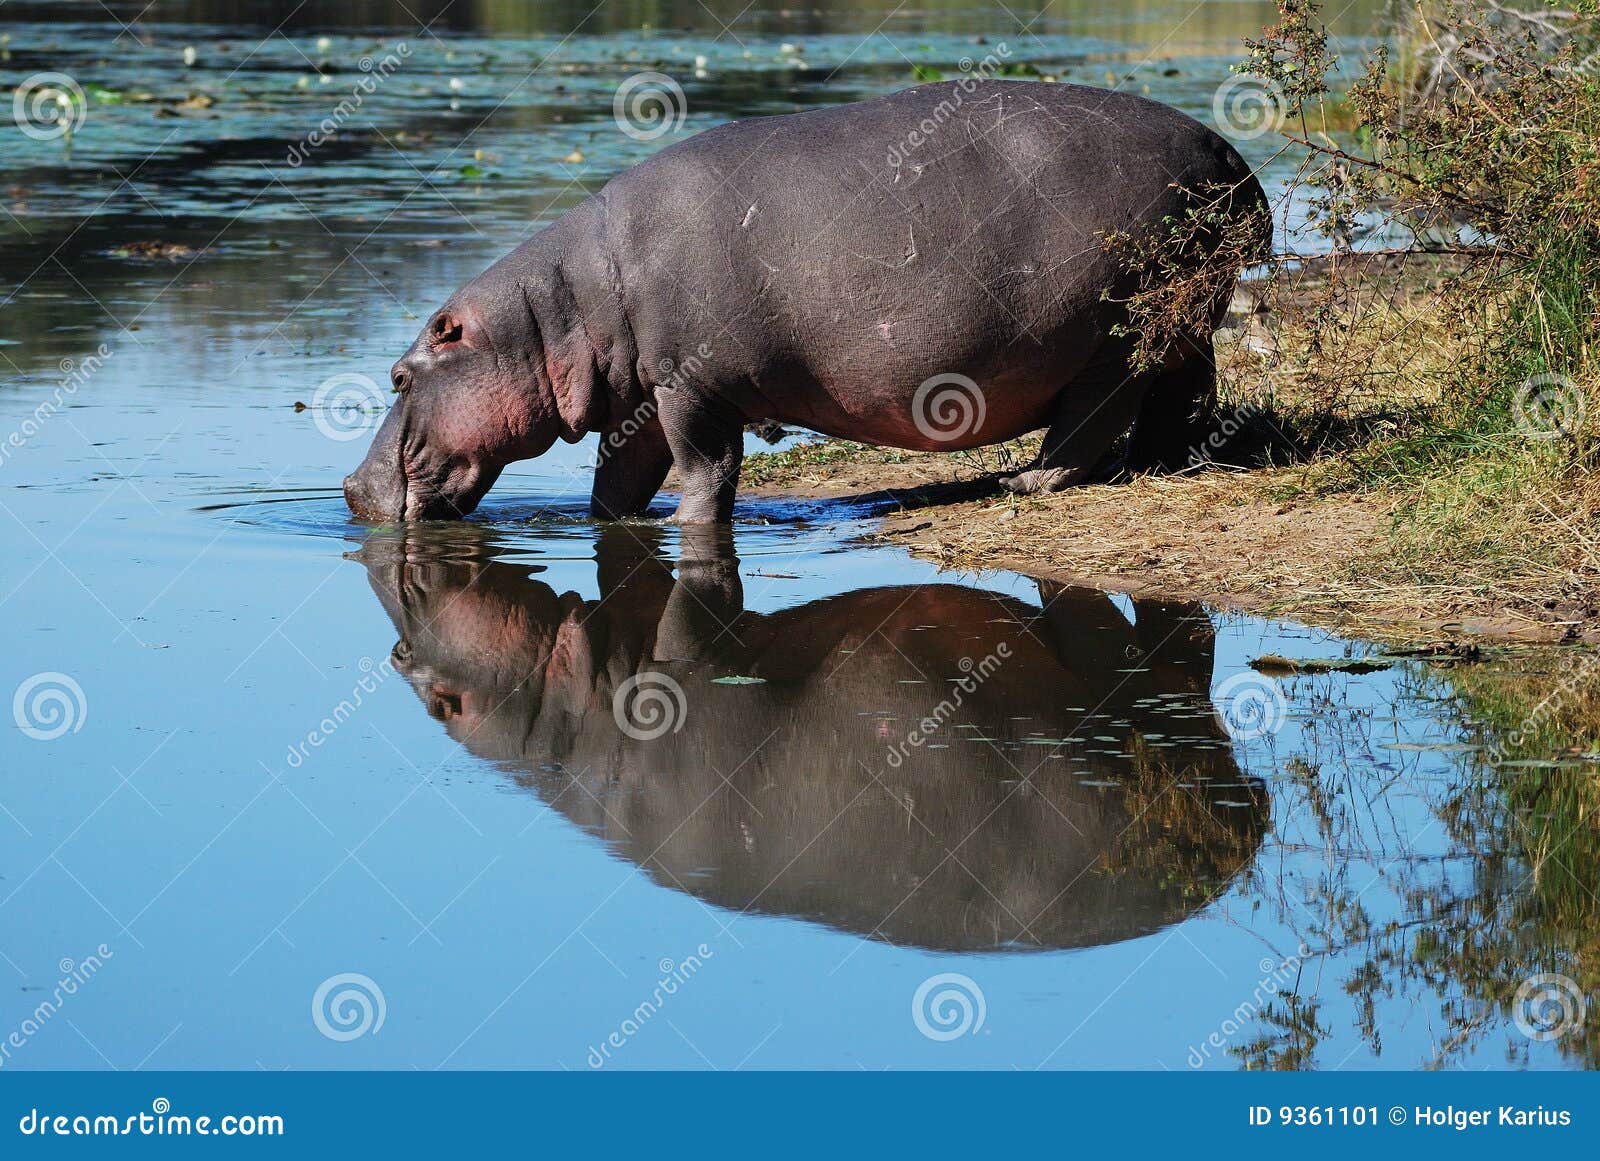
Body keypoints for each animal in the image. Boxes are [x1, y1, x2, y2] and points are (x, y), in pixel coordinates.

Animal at [344, 79, 1269, 523]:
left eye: (398, 376)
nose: (350, 490)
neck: (558, 314)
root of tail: (1226, 149)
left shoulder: (689, 385)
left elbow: (706, 469)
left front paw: (690, 526)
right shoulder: (640, 393)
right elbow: (617, 478)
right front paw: (605, 523)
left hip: (1117, 327)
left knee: (1093, 416)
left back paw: (1030, 481)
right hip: (1183, 321)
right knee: (1188, 391)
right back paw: (1172, 460)